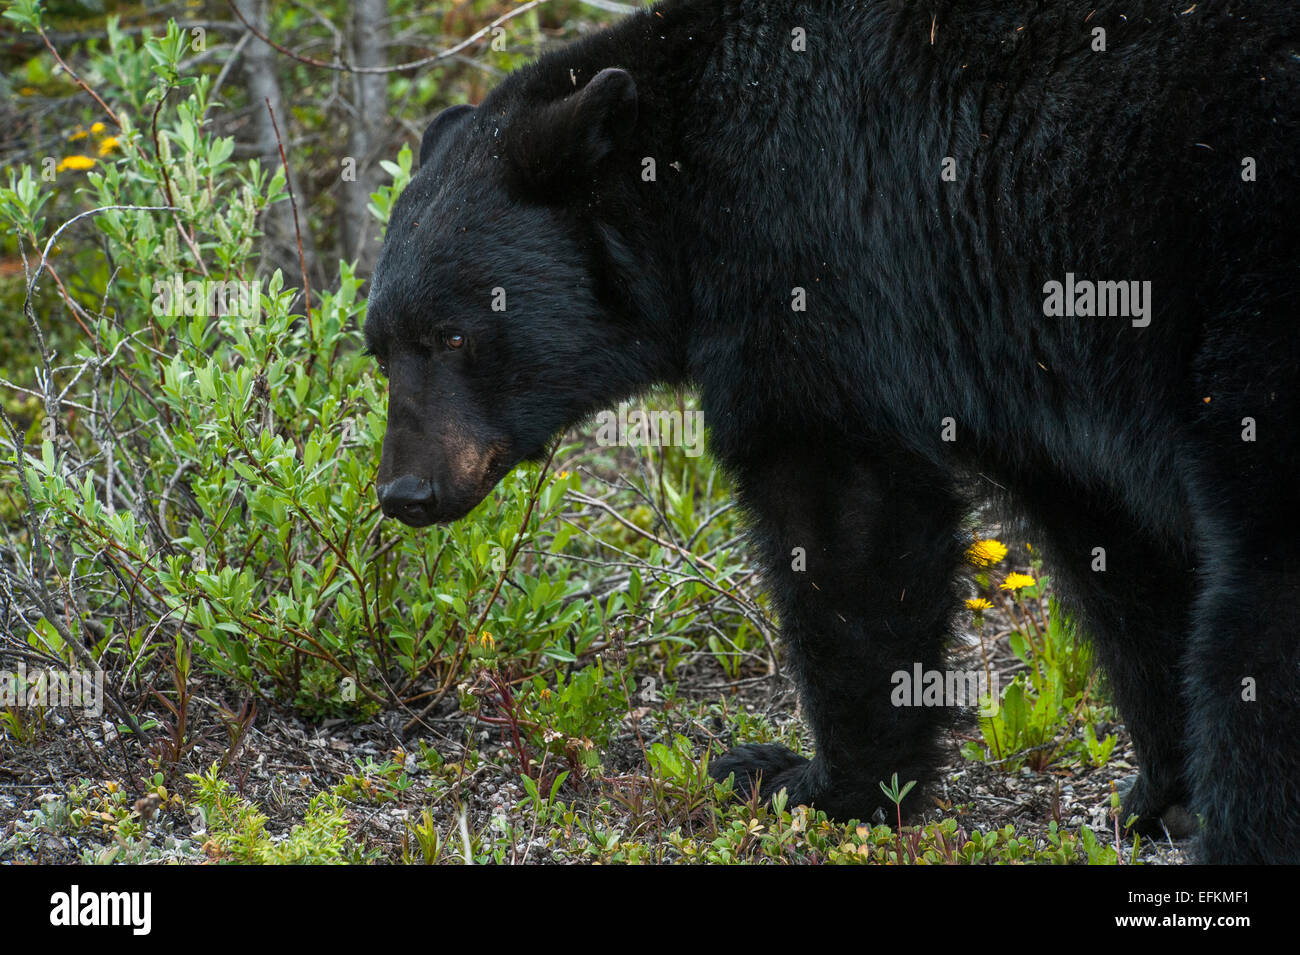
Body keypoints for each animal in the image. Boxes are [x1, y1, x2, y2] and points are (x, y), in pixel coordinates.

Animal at [362, 0, 1300, 864]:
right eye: (377, 346)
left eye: (452, 334)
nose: (405, 489)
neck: (687, 171)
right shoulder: (1035, 362)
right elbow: (1119, 550)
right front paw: (1162, 794)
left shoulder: (821, 259)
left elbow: (845, 512)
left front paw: (812, 781)